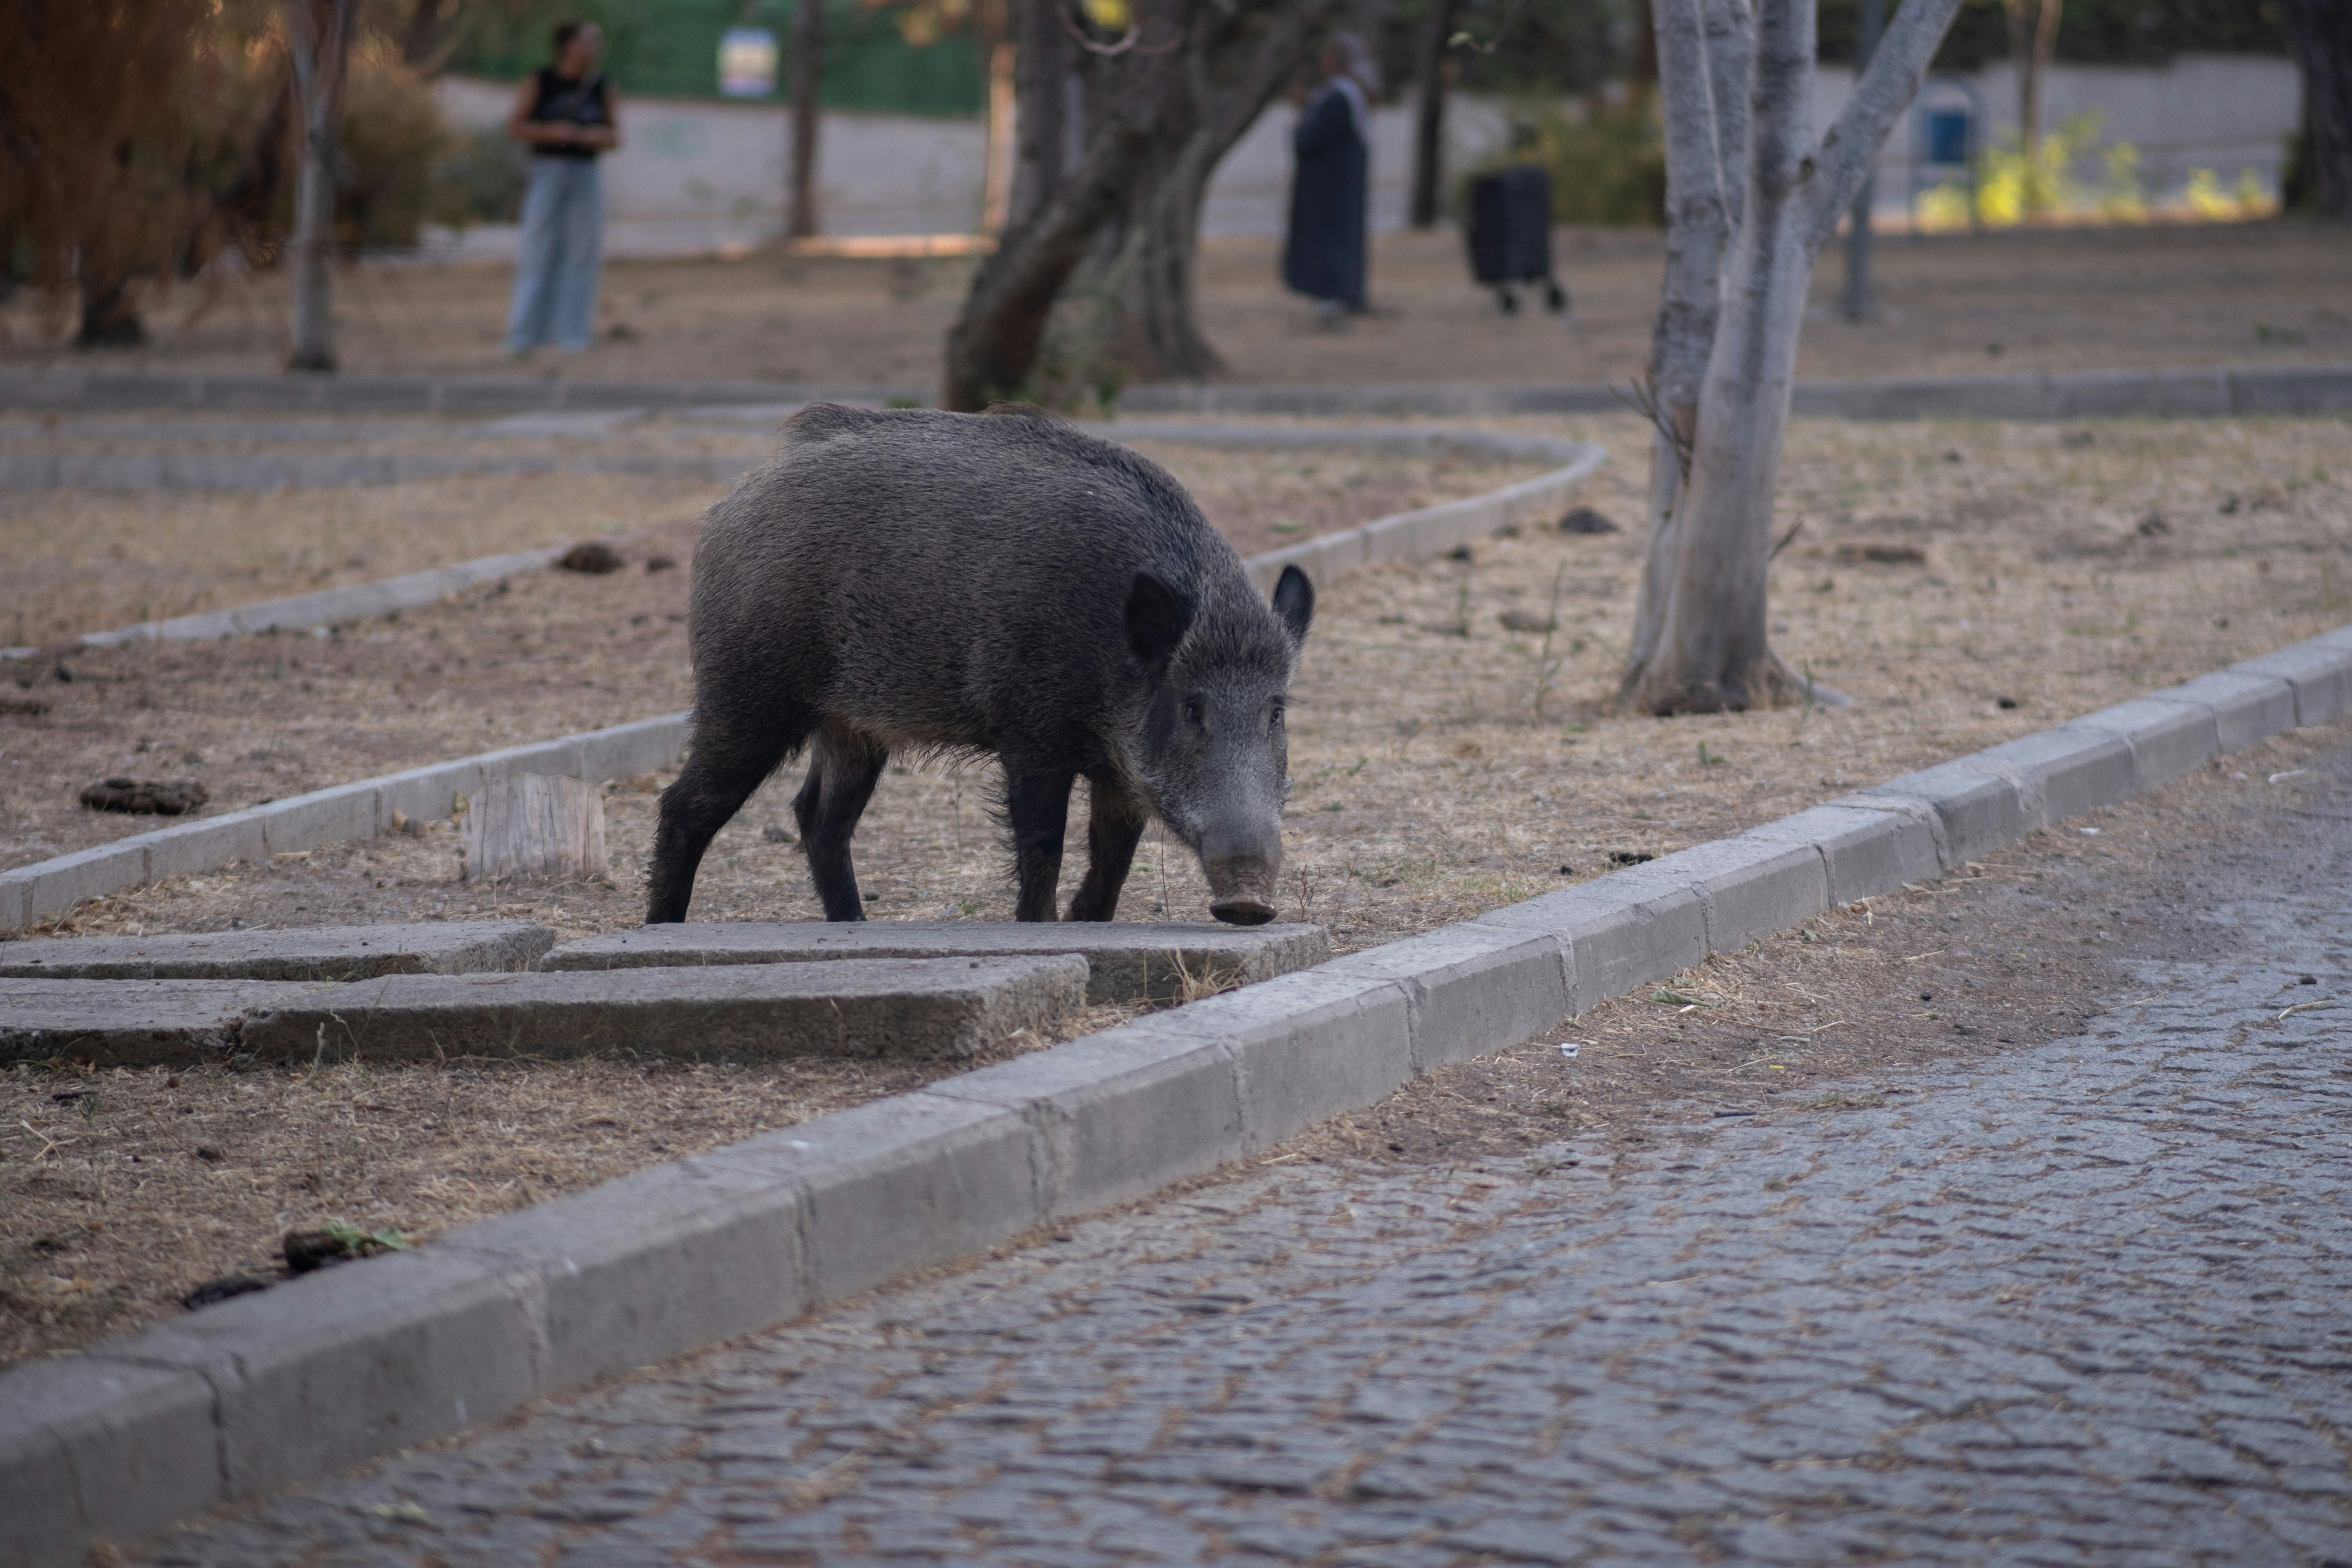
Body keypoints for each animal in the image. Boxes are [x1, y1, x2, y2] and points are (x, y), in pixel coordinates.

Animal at [645, 402, 1315, 928]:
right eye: (1192, 706)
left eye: (1276, 711)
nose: (1250, 902)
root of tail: (727, 506)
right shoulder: (1031, 733)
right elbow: (1043, 844)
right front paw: (1041, 926)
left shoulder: (1120, 767)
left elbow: (1113, 851)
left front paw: (1089, 921)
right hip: (748, 690)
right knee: (686, 805)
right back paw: (661, 926)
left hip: (853, 728)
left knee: (818, 816)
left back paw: (855, 924)